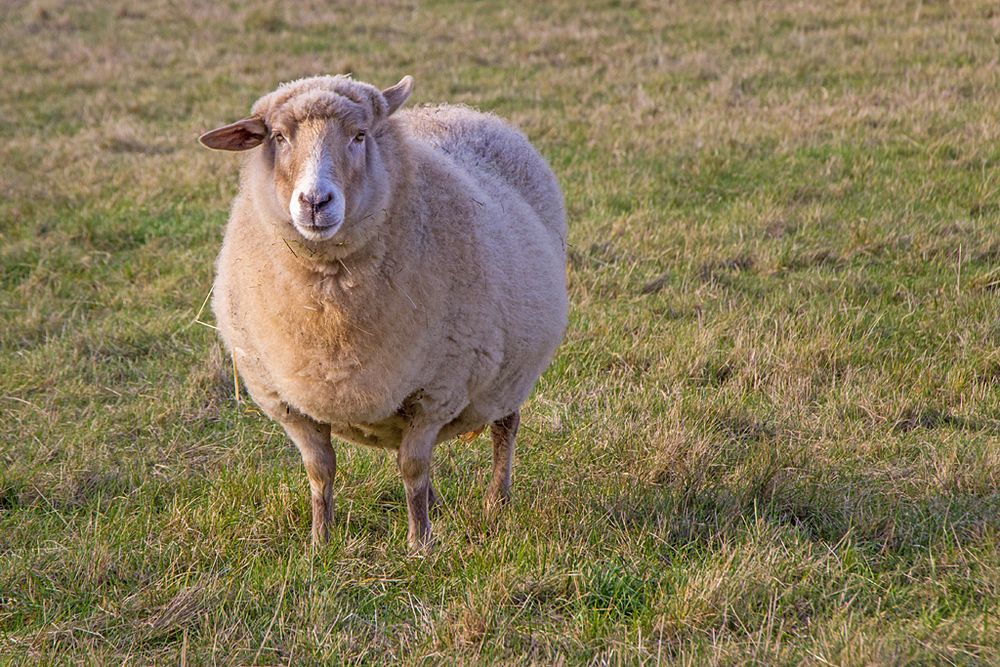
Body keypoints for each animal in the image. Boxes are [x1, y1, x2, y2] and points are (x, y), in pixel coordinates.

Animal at [198, 74, 567, 551]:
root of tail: (462, 111)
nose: (315, 202)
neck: (330, 310)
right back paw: (439, 505)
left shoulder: (435, 391)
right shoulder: (287, 402)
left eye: (359, 136)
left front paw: (419, 544)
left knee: (505, 426)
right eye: (278, 137)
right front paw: (320, 542)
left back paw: (495, 502)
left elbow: (412, 469)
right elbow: (321, 471)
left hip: (510, 367)